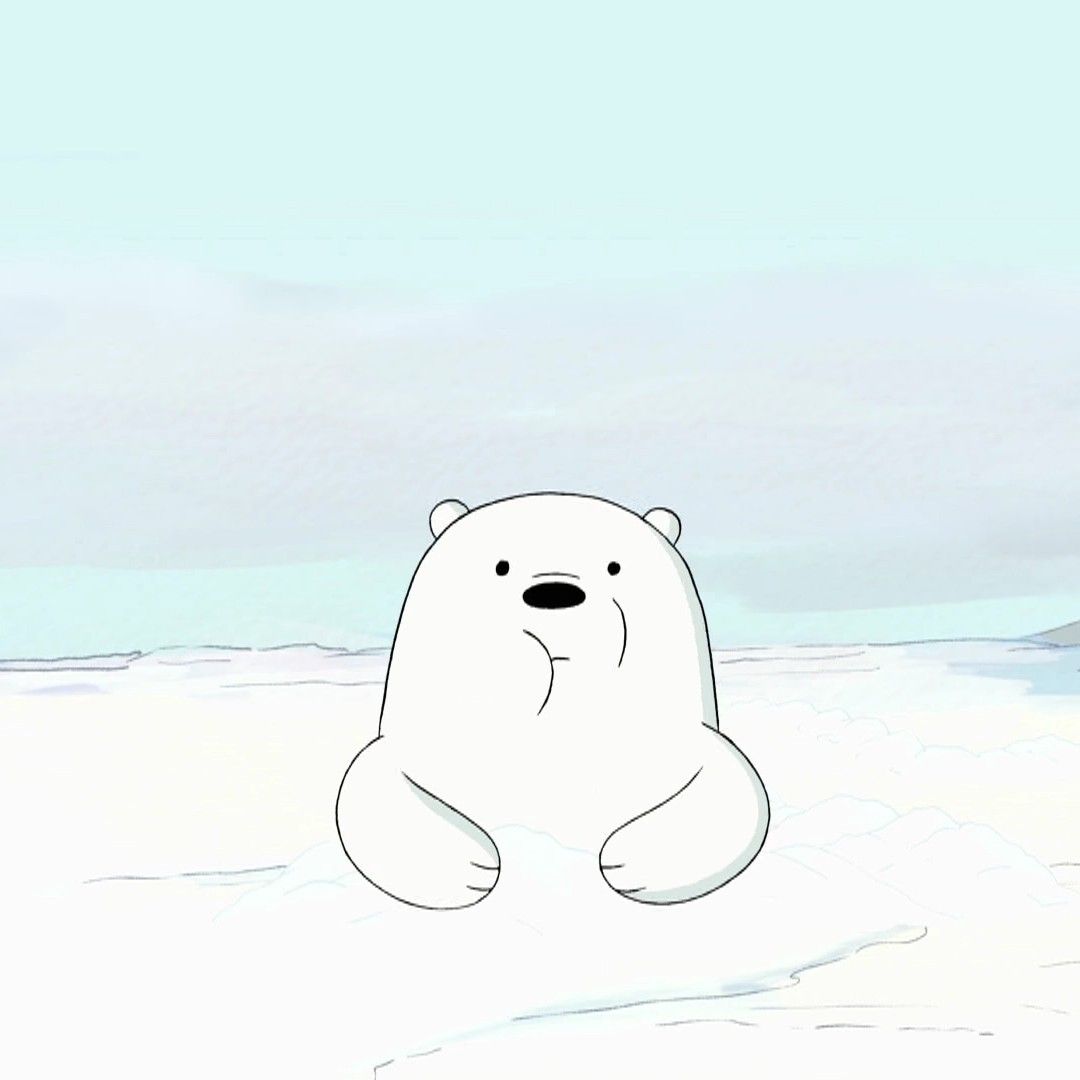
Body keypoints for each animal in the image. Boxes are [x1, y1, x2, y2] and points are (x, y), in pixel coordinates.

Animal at [335, 492, 769, 908]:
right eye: (501, 566)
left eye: (614, 566)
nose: (555, 593)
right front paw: (474, 868)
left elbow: (732, 786)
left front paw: (628, 862)